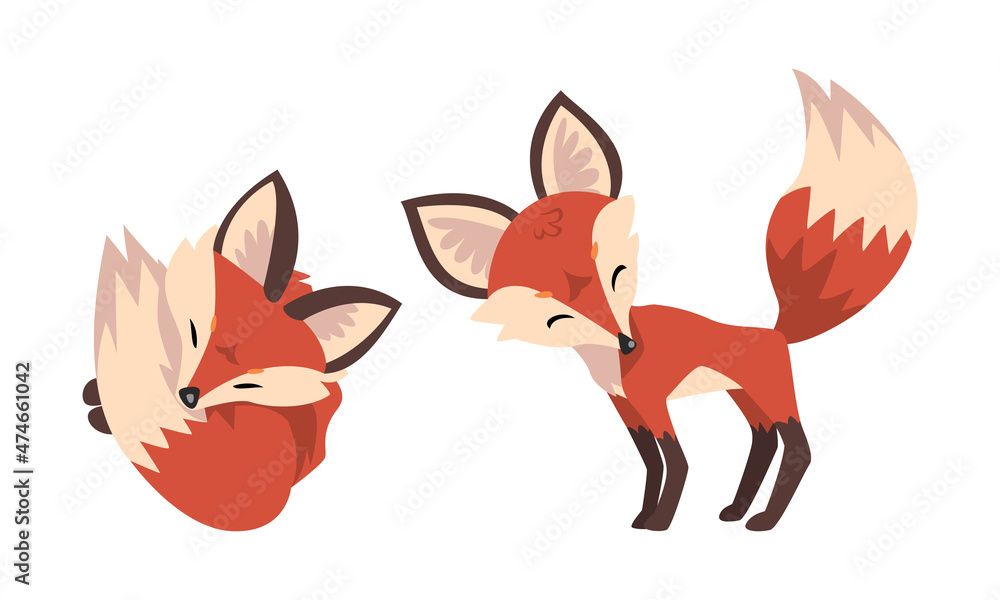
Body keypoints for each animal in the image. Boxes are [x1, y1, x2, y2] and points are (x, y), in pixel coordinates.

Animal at [403, 71, 916, 531]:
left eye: (617, 274)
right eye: (556, 316)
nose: (629, 345)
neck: (609, 363)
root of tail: (774, 330)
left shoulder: (652, 403)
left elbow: (678, 464)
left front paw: (661, 522)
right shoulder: (627, 408)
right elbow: (653, 465)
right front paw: (644, 517)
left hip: (773, 398)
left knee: (798, 451)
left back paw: (765, 521)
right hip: (746, 401)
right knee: (764, 444)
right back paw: (736, 510)